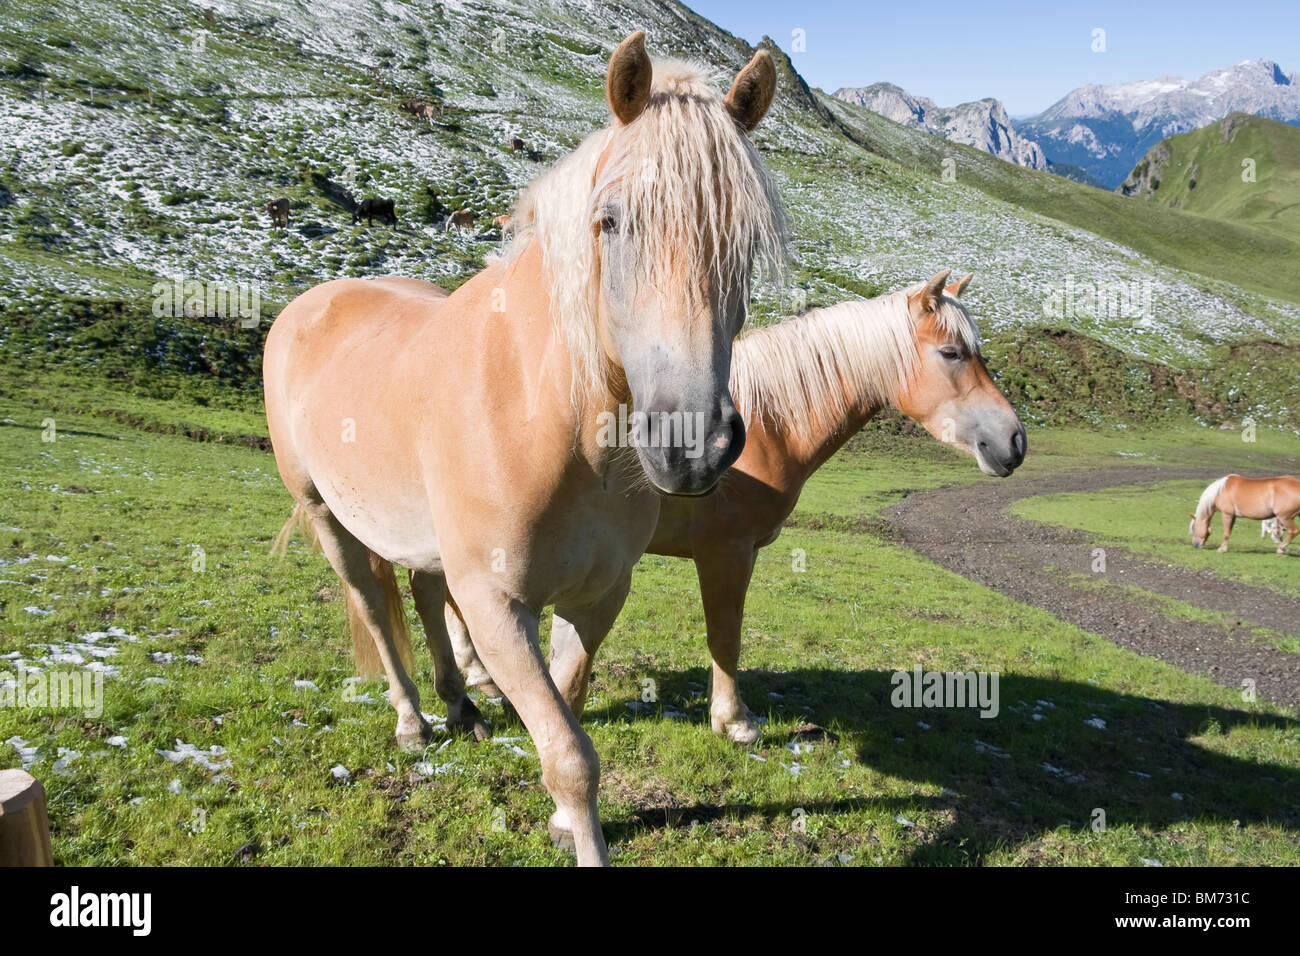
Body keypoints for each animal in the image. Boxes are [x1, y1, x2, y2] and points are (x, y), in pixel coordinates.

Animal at [263, 32, 787, 866]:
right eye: (610, 221)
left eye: (746, 240)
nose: (692, 448)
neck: (555, 427)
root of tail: (310, 303)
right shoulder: (497, 609)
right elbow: (570, 755)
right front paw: (582, 833)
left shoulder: (599, 595)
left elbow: (568, 707)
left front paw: (563, 822)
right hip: (325, 517)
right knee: (375, 612)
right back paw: (412, 722)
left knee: (422, 594)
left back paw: (462, 710)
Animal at [448, 270, 1026, 744]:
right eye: (951, 353)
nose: (1014, 442)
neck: (769, 427)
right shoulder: (726, 555)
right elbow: (725, 636)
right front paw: (734, 722)